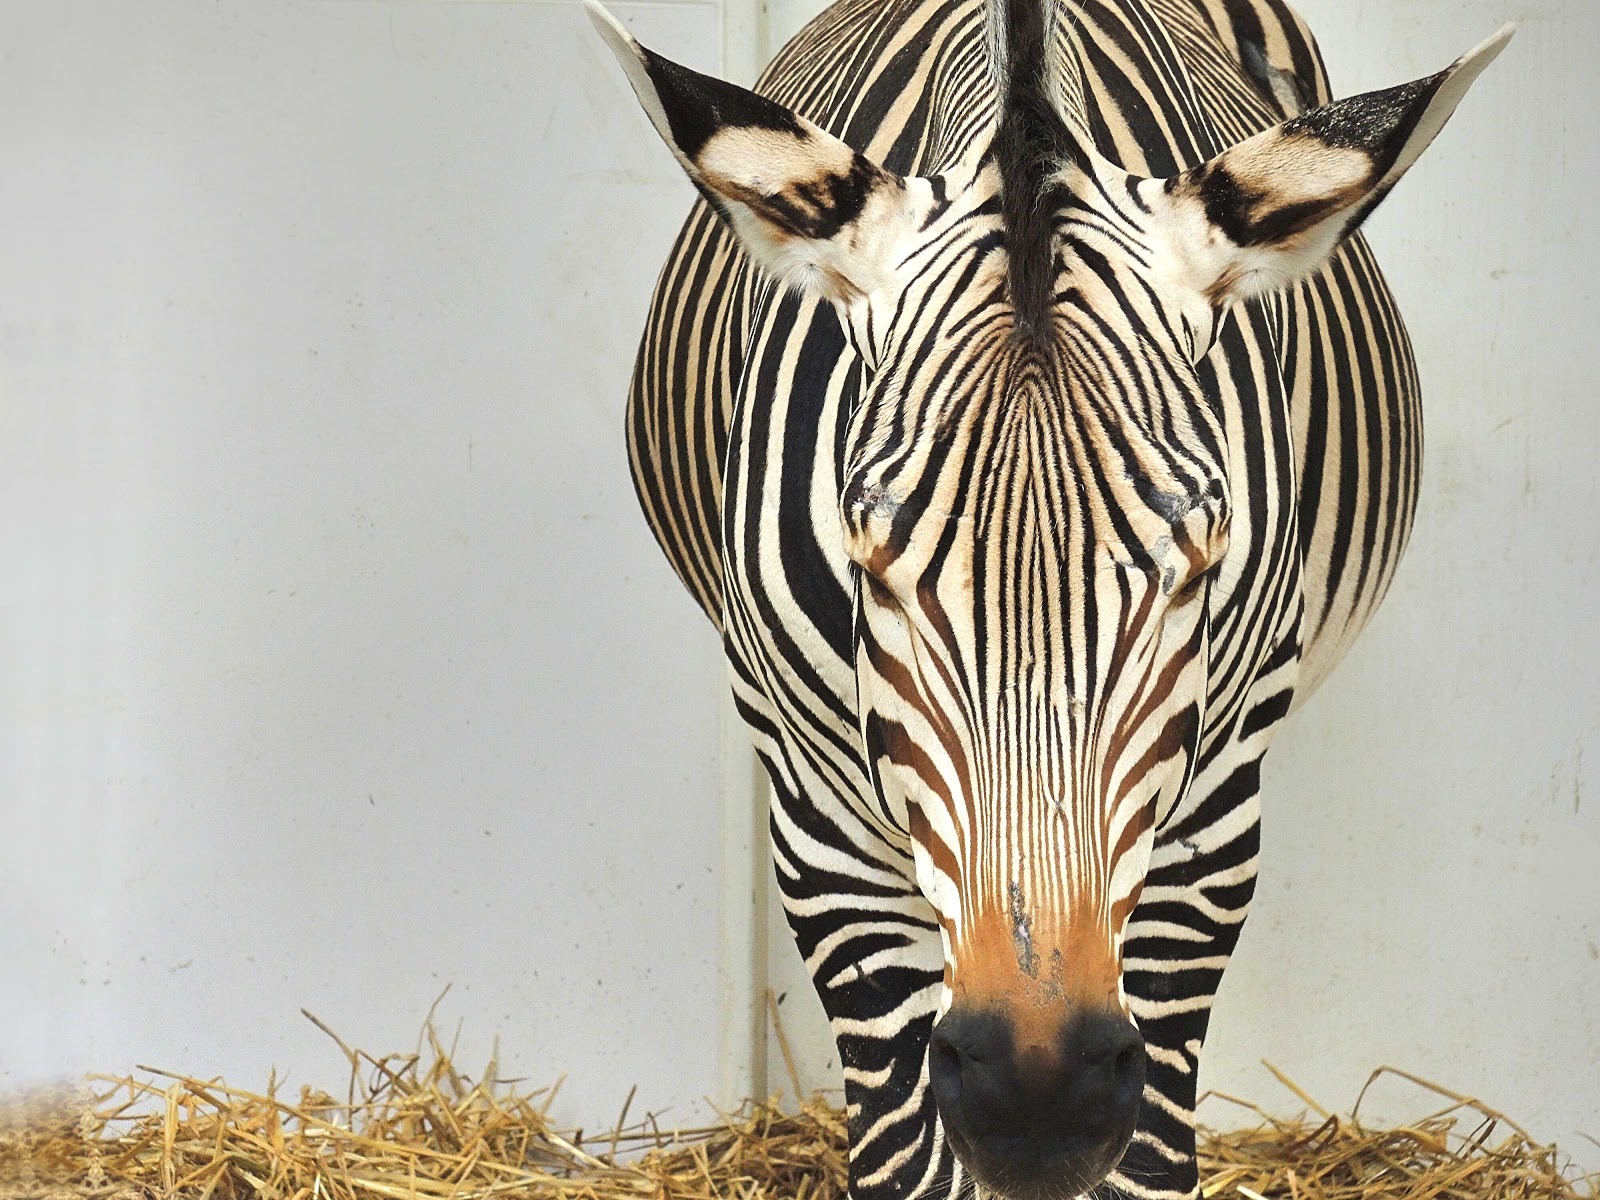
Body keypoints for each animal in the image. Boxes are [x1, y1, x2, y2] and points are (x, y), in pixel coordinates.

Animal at [586, 1, 1508, 1197]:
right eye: (870, 565)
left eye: (1199, 566)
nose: (1037, 1091)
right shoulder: (818, 823)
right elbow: (906, 1150)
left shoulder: (1209, 825)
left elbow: (1147, 1150)